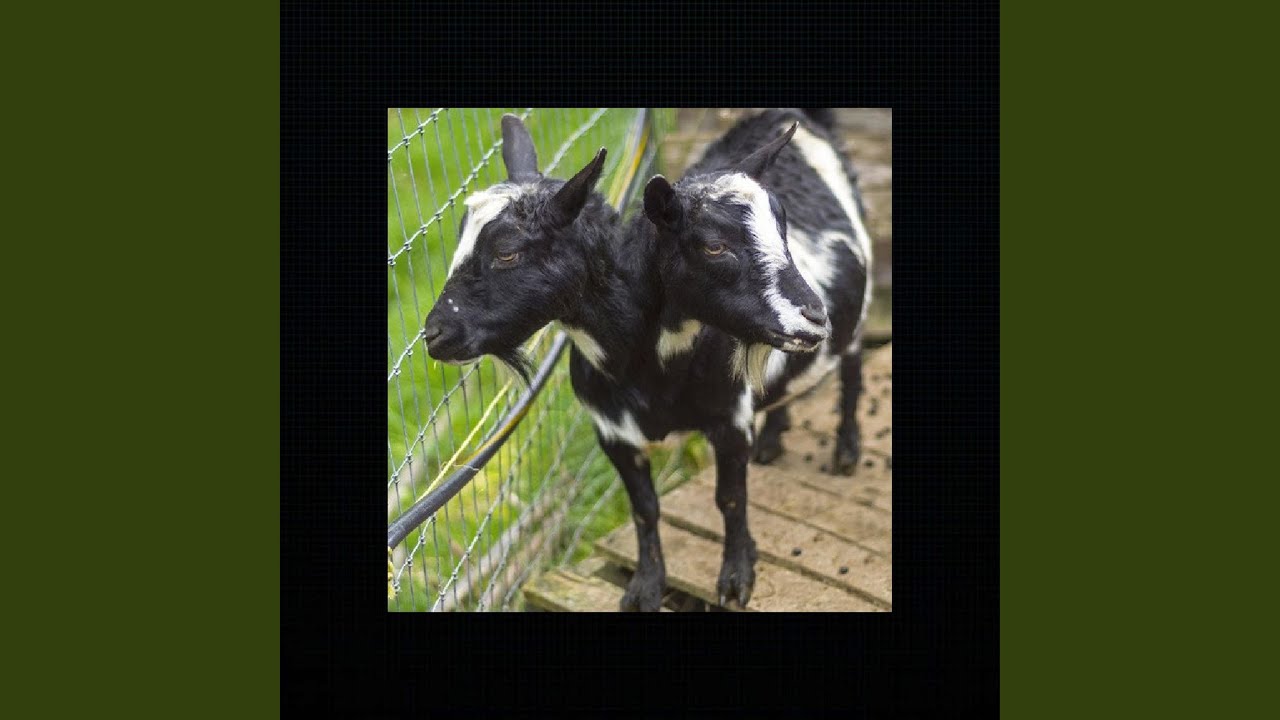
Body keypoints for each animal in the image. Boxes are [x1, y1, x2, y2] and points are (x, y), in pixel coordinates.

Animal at [422, 114, 832, 611]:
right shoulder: (613, 433)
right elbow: (644, 509)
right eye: (714, 246)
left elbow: (731, 499)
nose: (434, 334)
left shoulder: (731, 417)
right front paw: (645, 586)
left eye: (506, 252)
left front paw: (736, 578)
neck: (647, 371)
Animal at [643, 108, 873, 476]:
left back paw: (846, 453)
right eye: (714, 246)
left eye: (783, 232)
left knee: (851, 362)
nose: (815, 314)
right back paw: (770, 443)